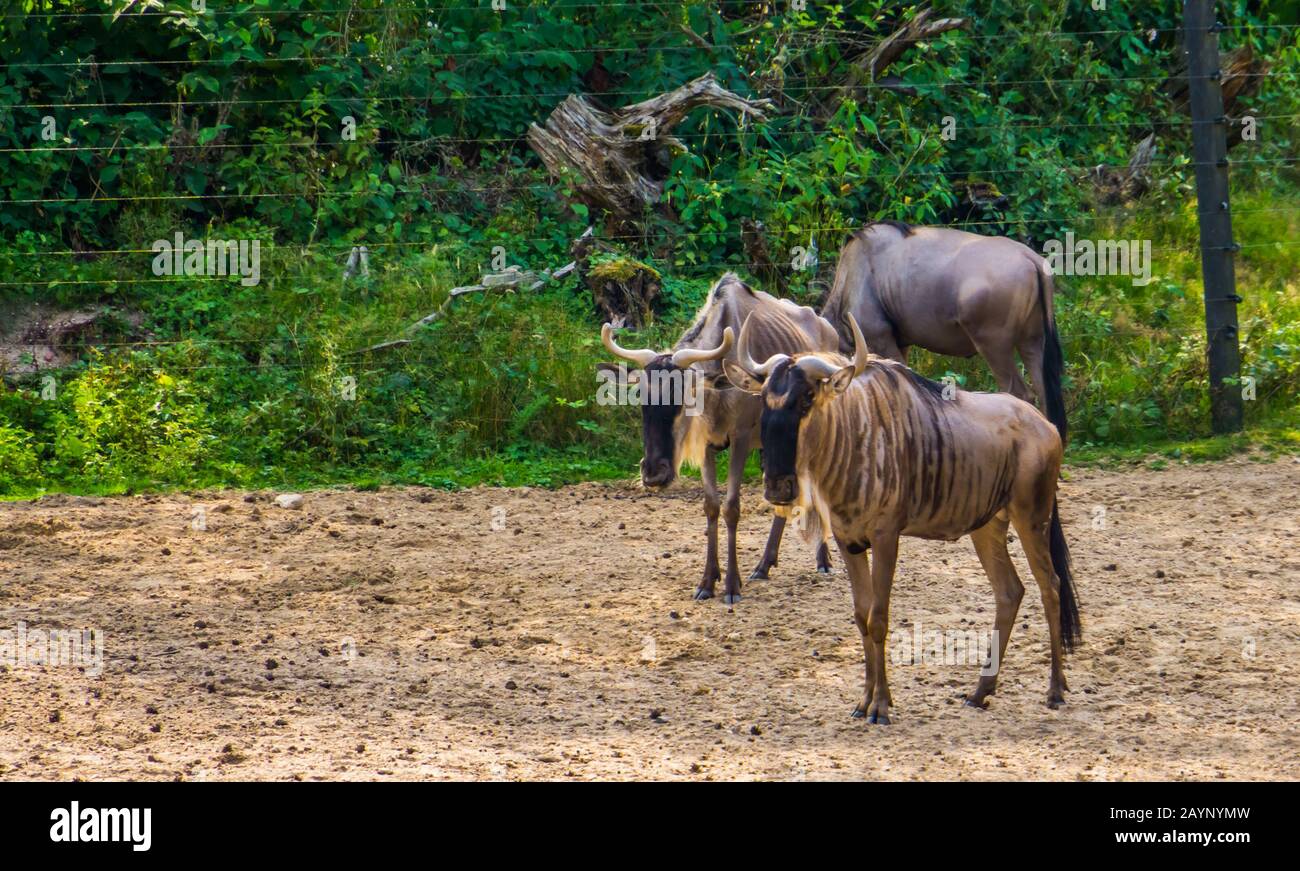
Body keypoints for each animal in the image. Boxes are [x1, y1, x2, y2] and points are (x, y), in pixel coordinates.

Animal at [600, 273, 838, 604]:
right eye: (641, 401)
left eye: (683, 399)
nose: (653, 473)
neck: (716, 396)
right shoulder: (708, 447)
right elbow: (711, 506)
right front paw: (708, 581)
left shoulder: (740, 440)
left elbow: (732, 508)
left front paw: (731, 585)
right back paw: (764, 565)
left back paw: (822, 559)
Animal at [723, 312, 1081, 723]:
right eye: (765, 400)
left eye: (807, 398)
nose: (778, 488)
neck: (852, 438)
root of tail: (1045, 426)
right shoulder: (848, 541)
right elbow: (861, 616)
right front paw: (865, 700)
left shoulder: (886, 538)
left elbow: (879, 618)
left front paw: (880, 705)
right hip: (987, 526)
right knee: (1010, 592)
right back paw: (980, 691)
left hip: (1032, 519)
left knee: (1050, 586)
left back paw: (1055, 690)